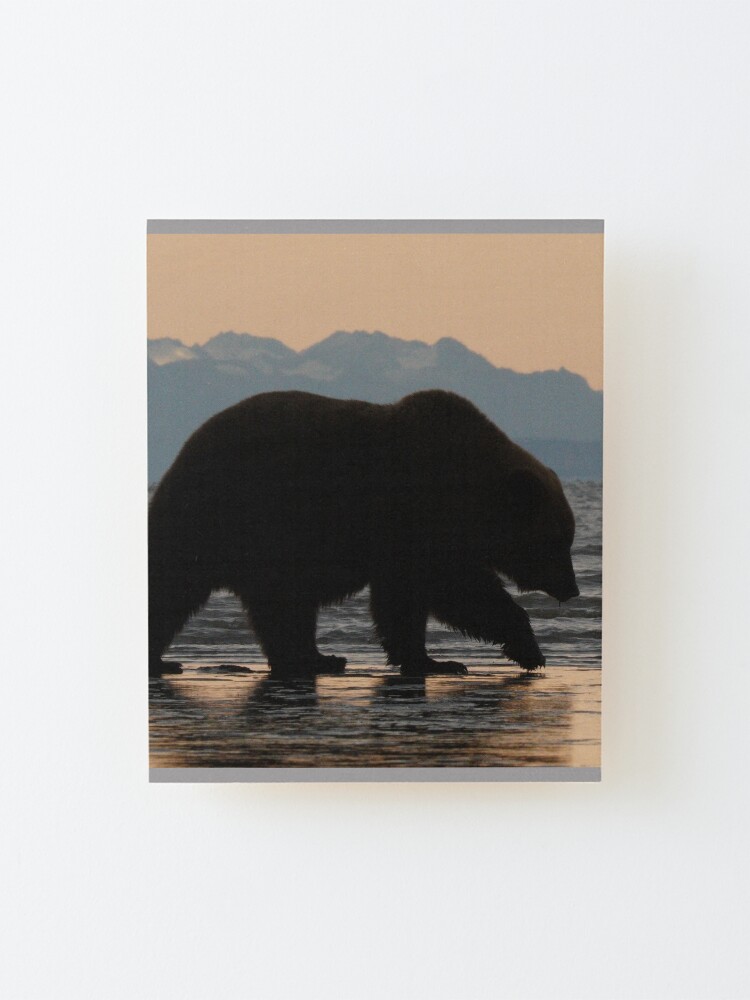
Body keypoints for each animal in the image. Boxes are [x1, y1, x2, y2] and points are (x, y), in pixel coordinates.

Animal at [148, 389, 579, 678]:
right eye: (557, 541)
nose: (572, 589)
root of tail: (182, 455)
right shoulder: (413, 519)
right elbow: (454, 591)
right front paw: (525, 649)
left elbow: (410, 600)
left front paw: (431, 659)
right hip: (237, 520)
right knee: (180, 588)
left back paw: (318, 658)